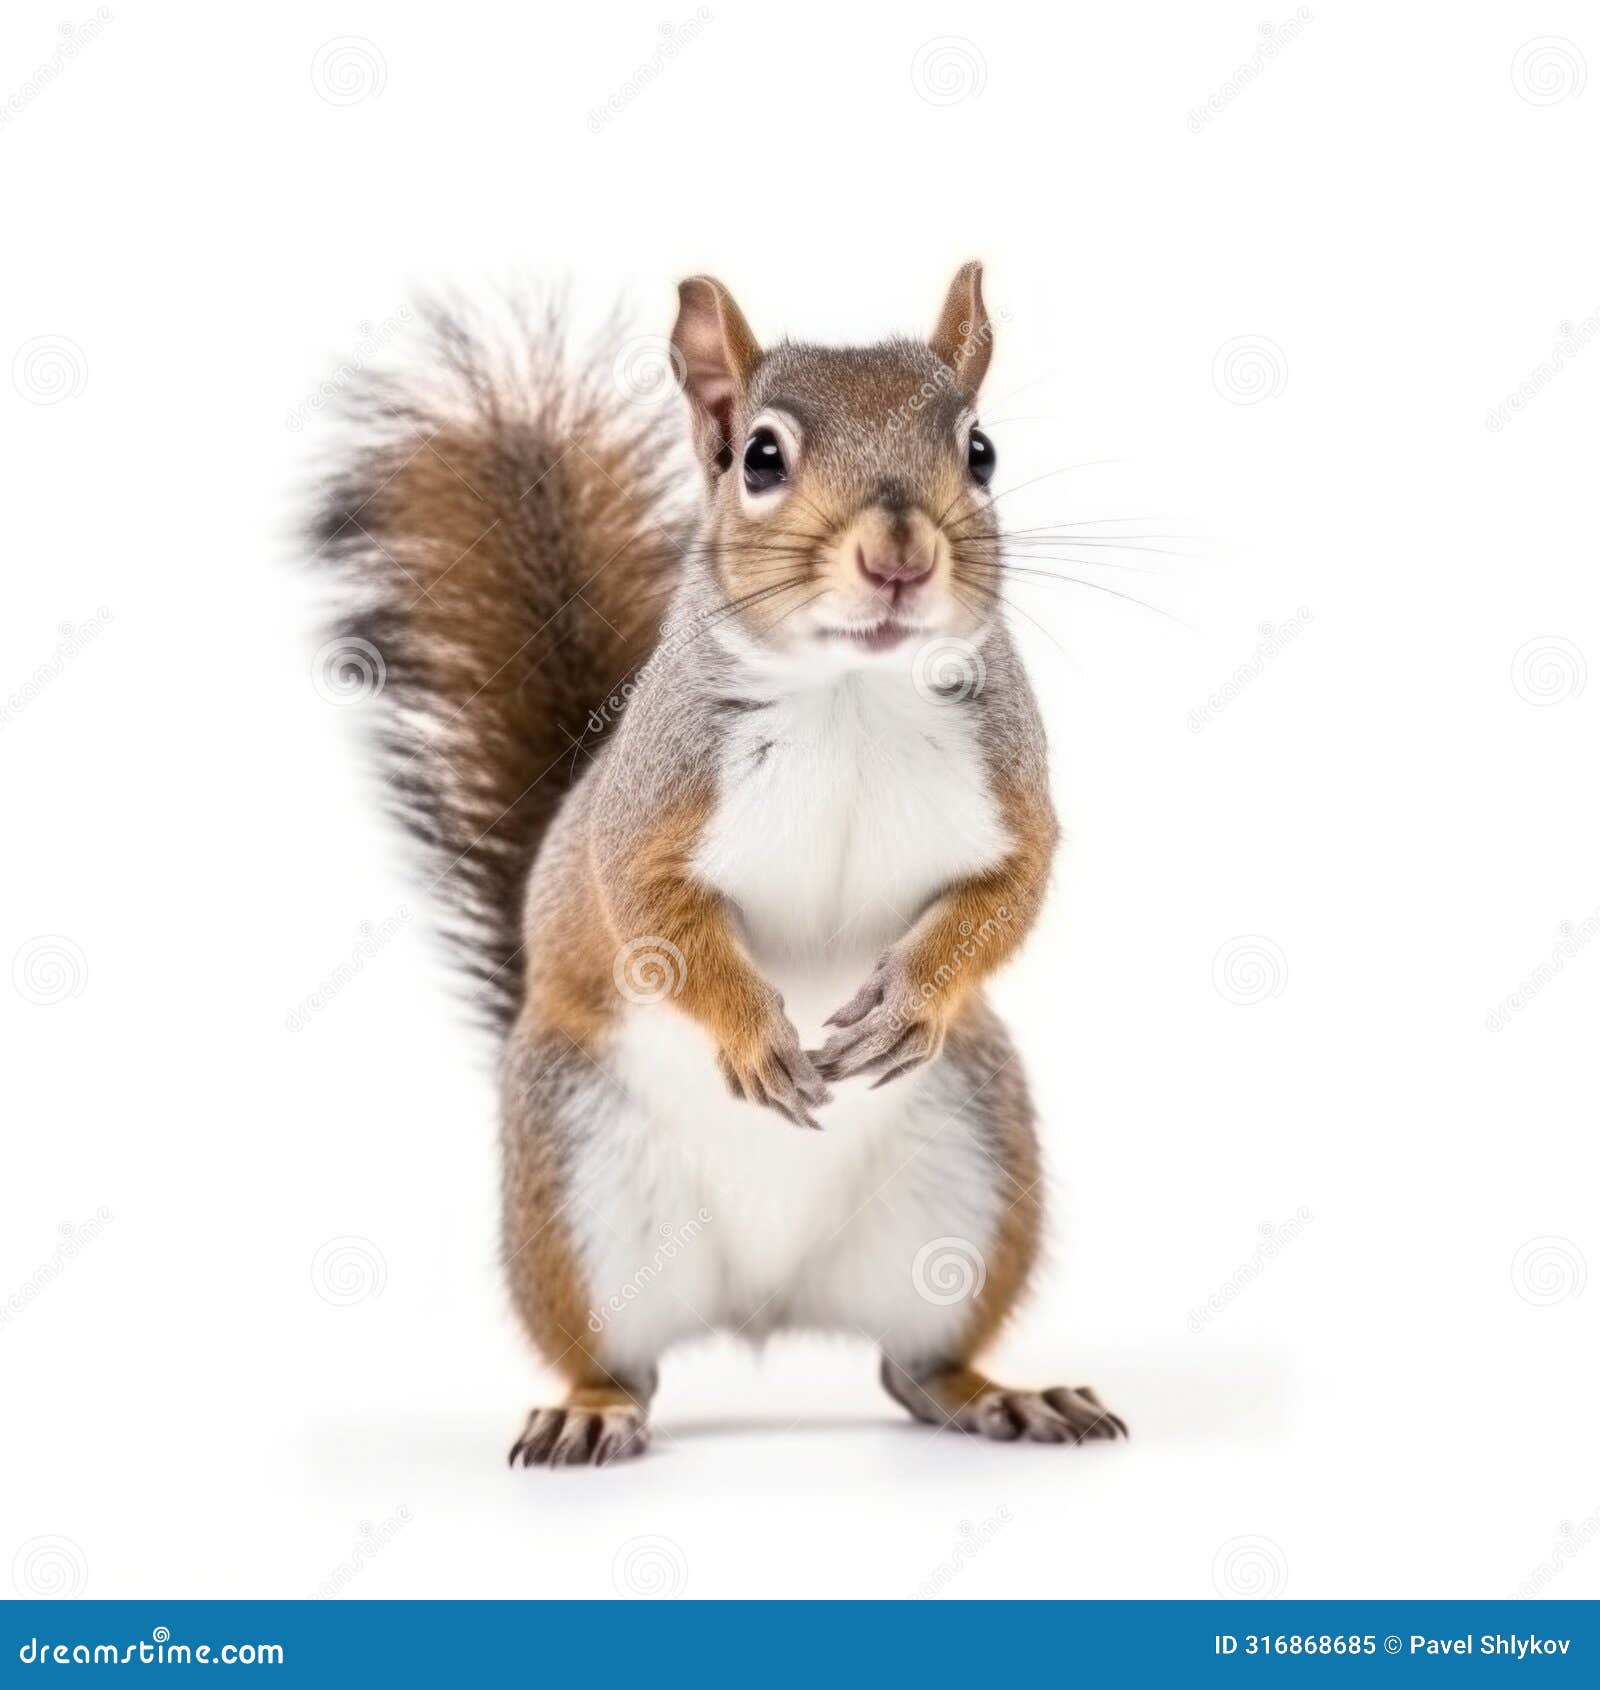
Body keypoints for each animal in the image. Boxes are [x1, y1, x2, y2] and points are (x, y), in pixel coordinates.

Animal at [312, 264, 1127, 1466]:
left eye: (980, 450)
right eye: (761, 457)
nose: (899, 556)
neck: (850, 694)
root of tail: (764, 1302)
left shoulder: (1014, 799)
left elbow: (1007, 896)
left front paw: (911, 1001)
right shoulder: (646, 811)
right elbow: (652, 920)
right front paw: (754, 1035)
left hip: (971, 1179)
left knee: (914, 1367)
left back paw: (1001, 1395)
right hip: (574, 1196)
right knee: (621, 1363)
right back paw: (589, 1409)